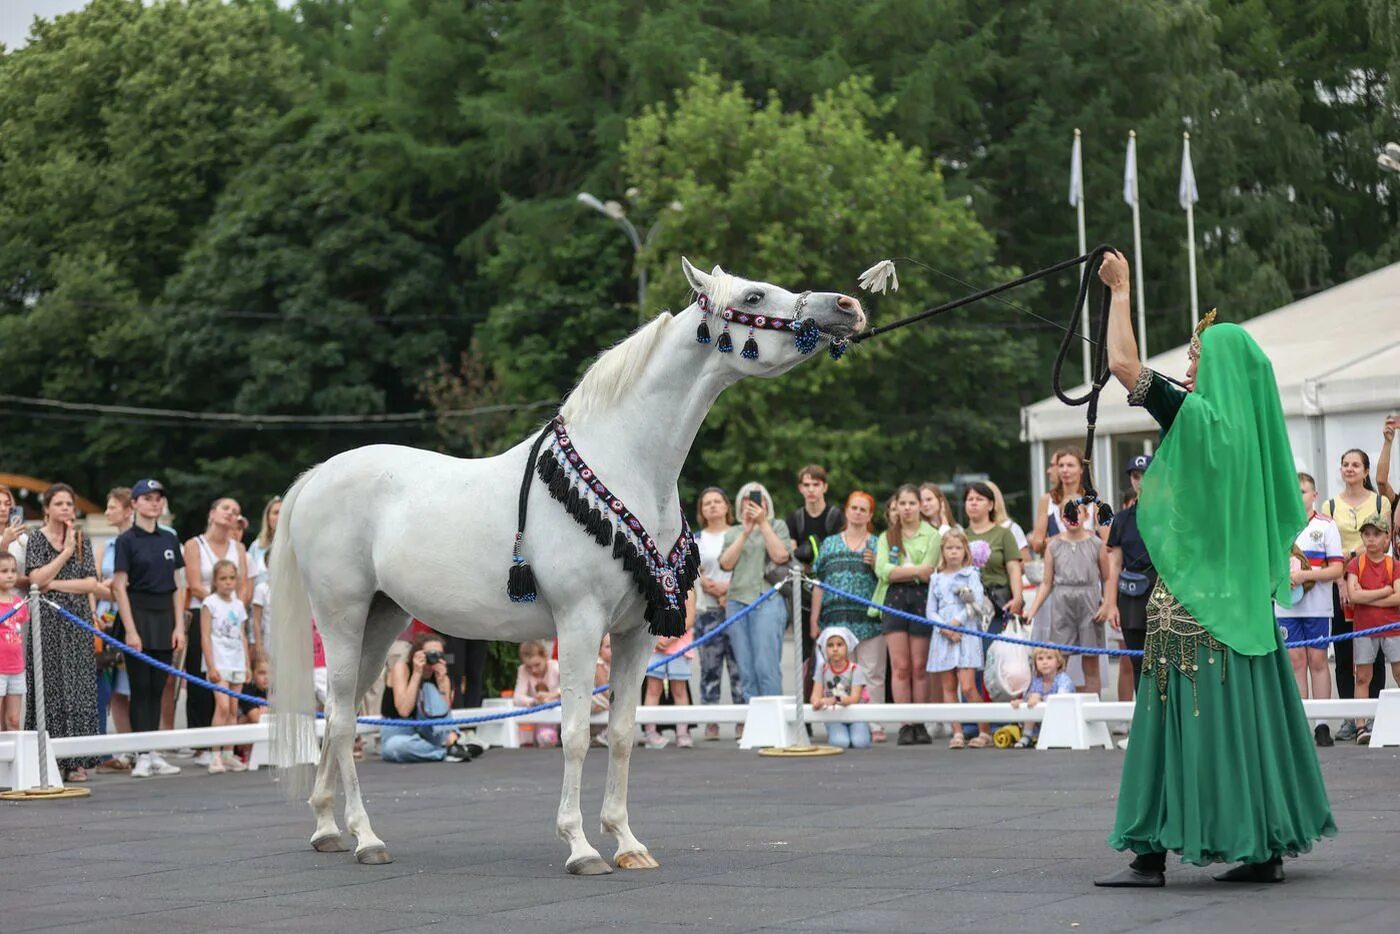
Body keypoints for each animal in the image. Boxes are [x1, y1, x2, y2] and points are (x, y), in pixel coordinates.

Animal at [270, 256, 862, 868]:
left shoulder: (636, 632)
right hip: (341, 616)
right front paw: (580, 846)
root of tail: (318, 476)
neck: (624, 463)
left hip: (382, 620)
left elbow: (621, 733)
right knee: (343, 722)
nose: (846, 306)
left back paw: (326, 827)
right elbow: (576, 732)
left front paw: (626, 842)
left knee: (341, 717)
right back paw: (366, 837)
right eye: (754, 295)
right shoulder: (579, 624)